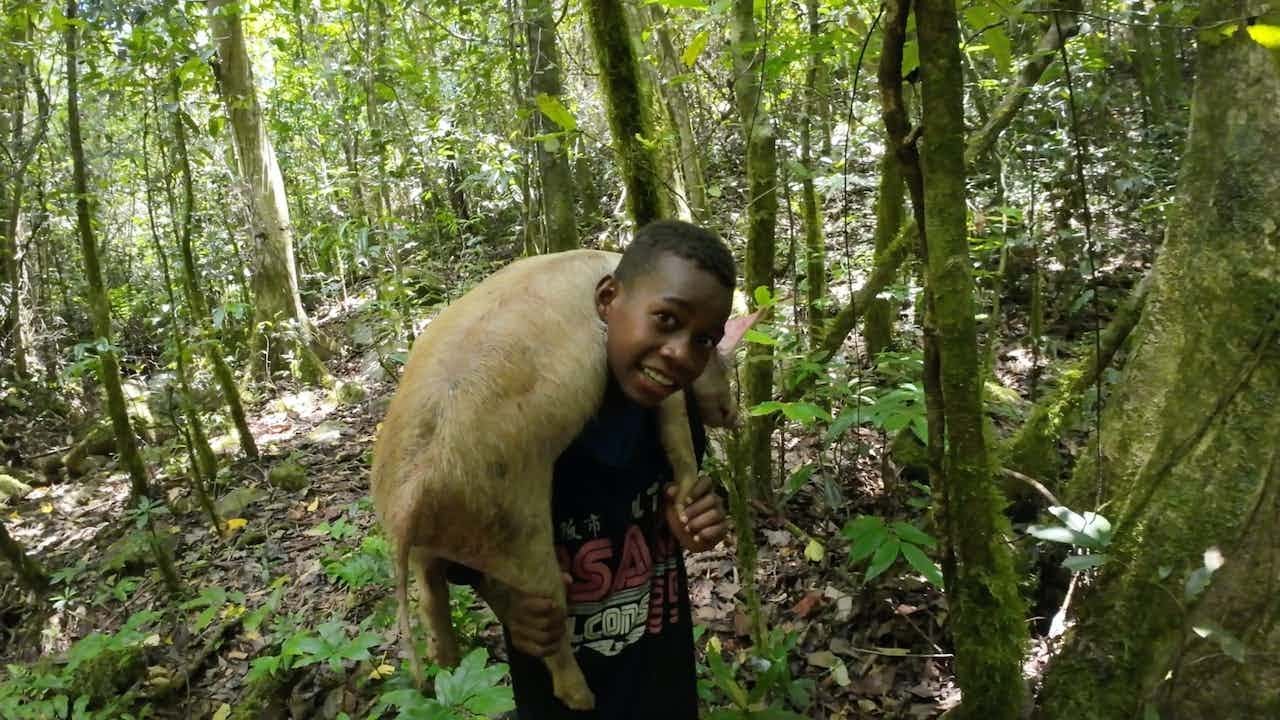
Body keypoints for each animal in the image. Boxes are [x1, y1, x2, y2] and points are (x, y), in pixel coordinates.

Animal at [370, 249, 755, 710]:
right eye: (719, 357)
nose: (734, 416)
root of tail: (405, 506)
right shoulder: (669, 392)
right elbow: (675, 431)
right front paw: (689, 499)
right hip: (518, 527)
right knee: (545, 614)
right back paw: (583, 697)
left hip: (434, 539)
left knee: (433, 595)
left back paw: (445, 663)